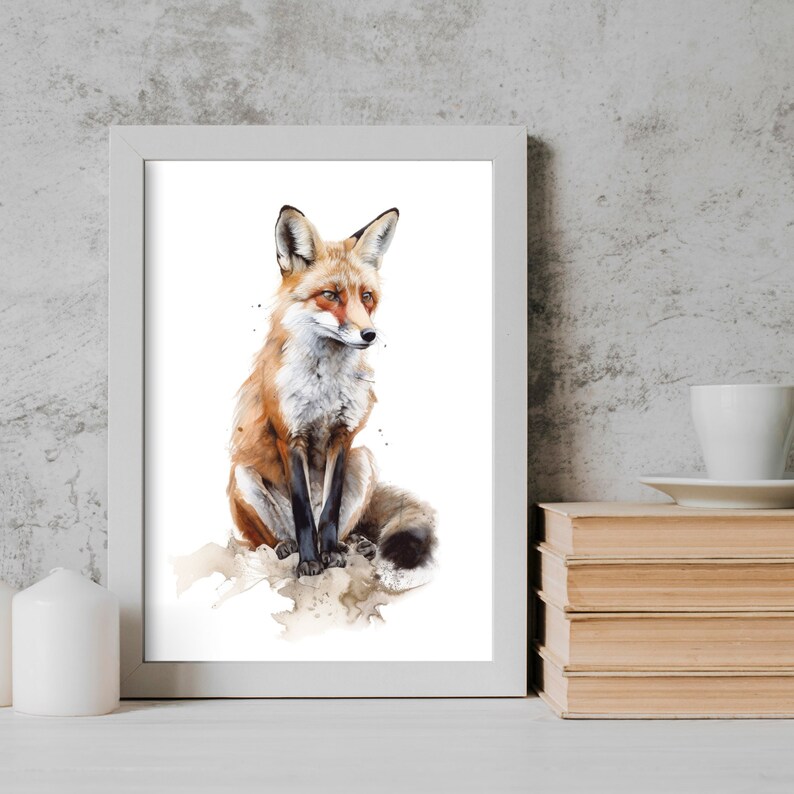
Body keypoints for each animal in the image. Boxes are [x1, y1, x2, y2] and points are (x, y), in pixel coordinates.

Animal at [228, 205, 437, 578]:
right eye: (330, 295)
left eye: (366, 297)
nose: (369, 335)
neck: (325, 386)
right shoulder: (289, 437)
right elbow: (303, 515)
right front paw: (310, 561)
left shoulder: (344, 436)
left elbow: (328, 512)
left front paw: (329, 555)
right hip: (242, 474)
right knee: (268, 537)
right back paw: (286, 547)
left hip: (363, 459)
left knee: (343, 525)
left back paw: (351, 545)